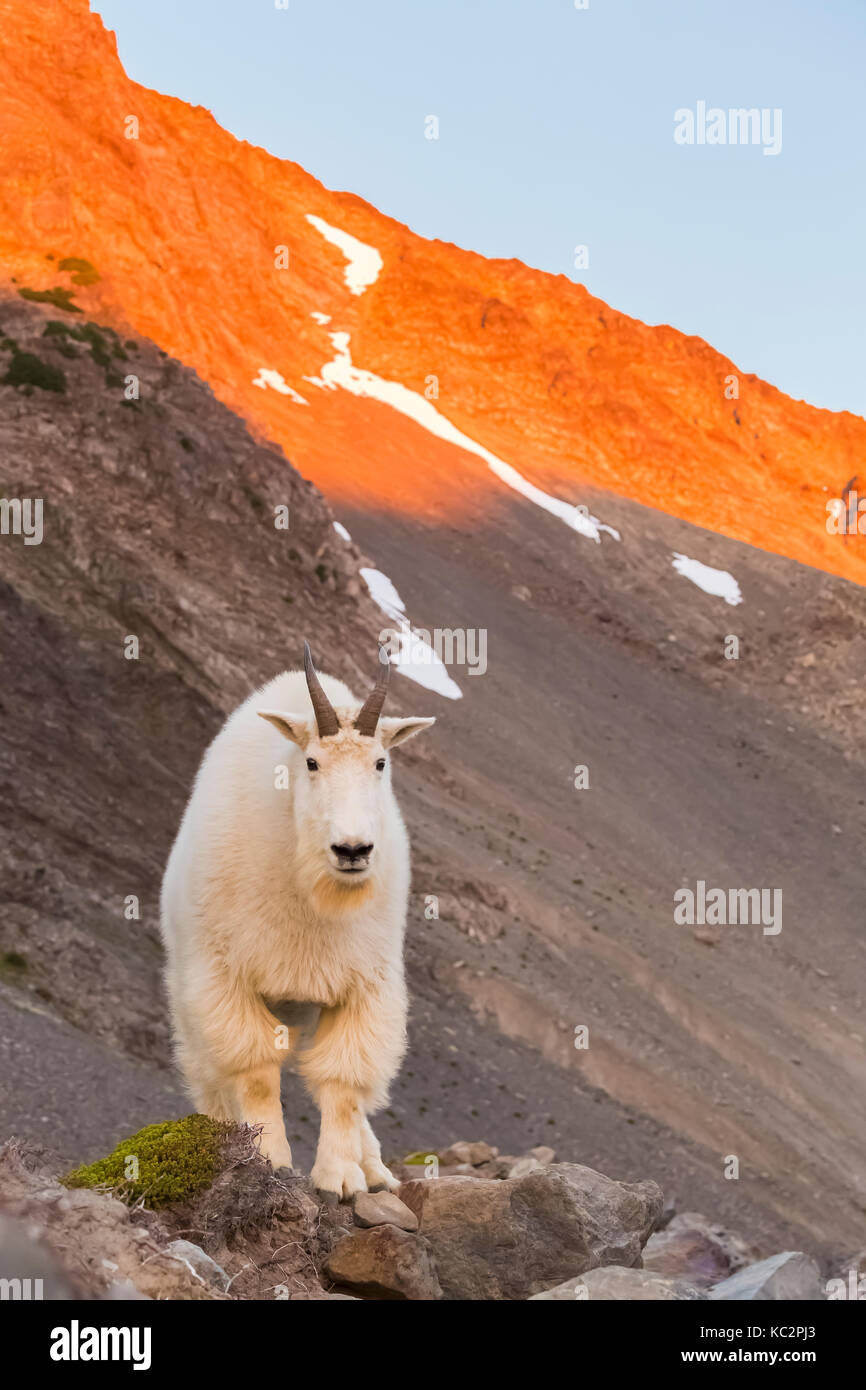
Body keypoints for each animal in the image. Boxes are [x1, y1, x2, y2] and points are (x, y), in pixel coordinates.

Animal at [160, 641, 434, 1199]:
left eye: (380, 762)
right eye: (312, 762)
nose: (352, 850)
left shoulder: (363, 985)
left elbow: (344, 1081)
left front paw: (343, 1177)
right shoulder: (228, 980)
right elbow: (257, 1075)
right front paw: (268, 1160)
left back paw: (377, 1169)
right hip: (189, 991)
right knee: (210, 1077)